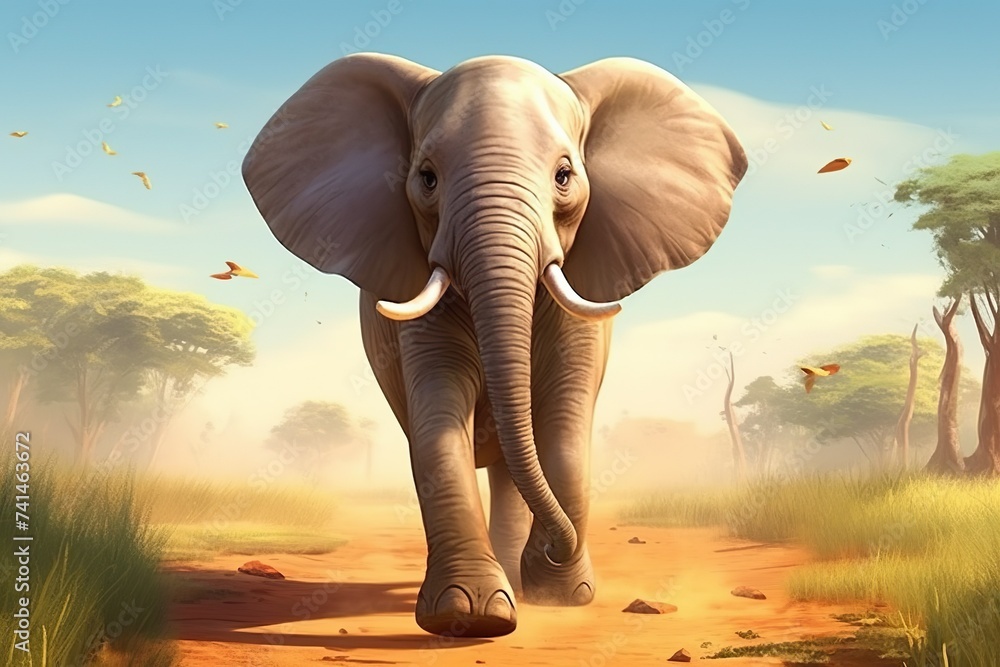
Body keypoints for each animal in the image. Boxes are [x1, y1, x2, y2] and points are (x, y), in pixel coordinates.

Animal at [242, 52, 747, 638]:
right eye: (427, 178)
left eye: (564, 176)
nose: (550, 550)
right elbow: (438, 424)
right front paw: (469, 616)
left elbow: (564, 427)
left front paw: (560, 594)